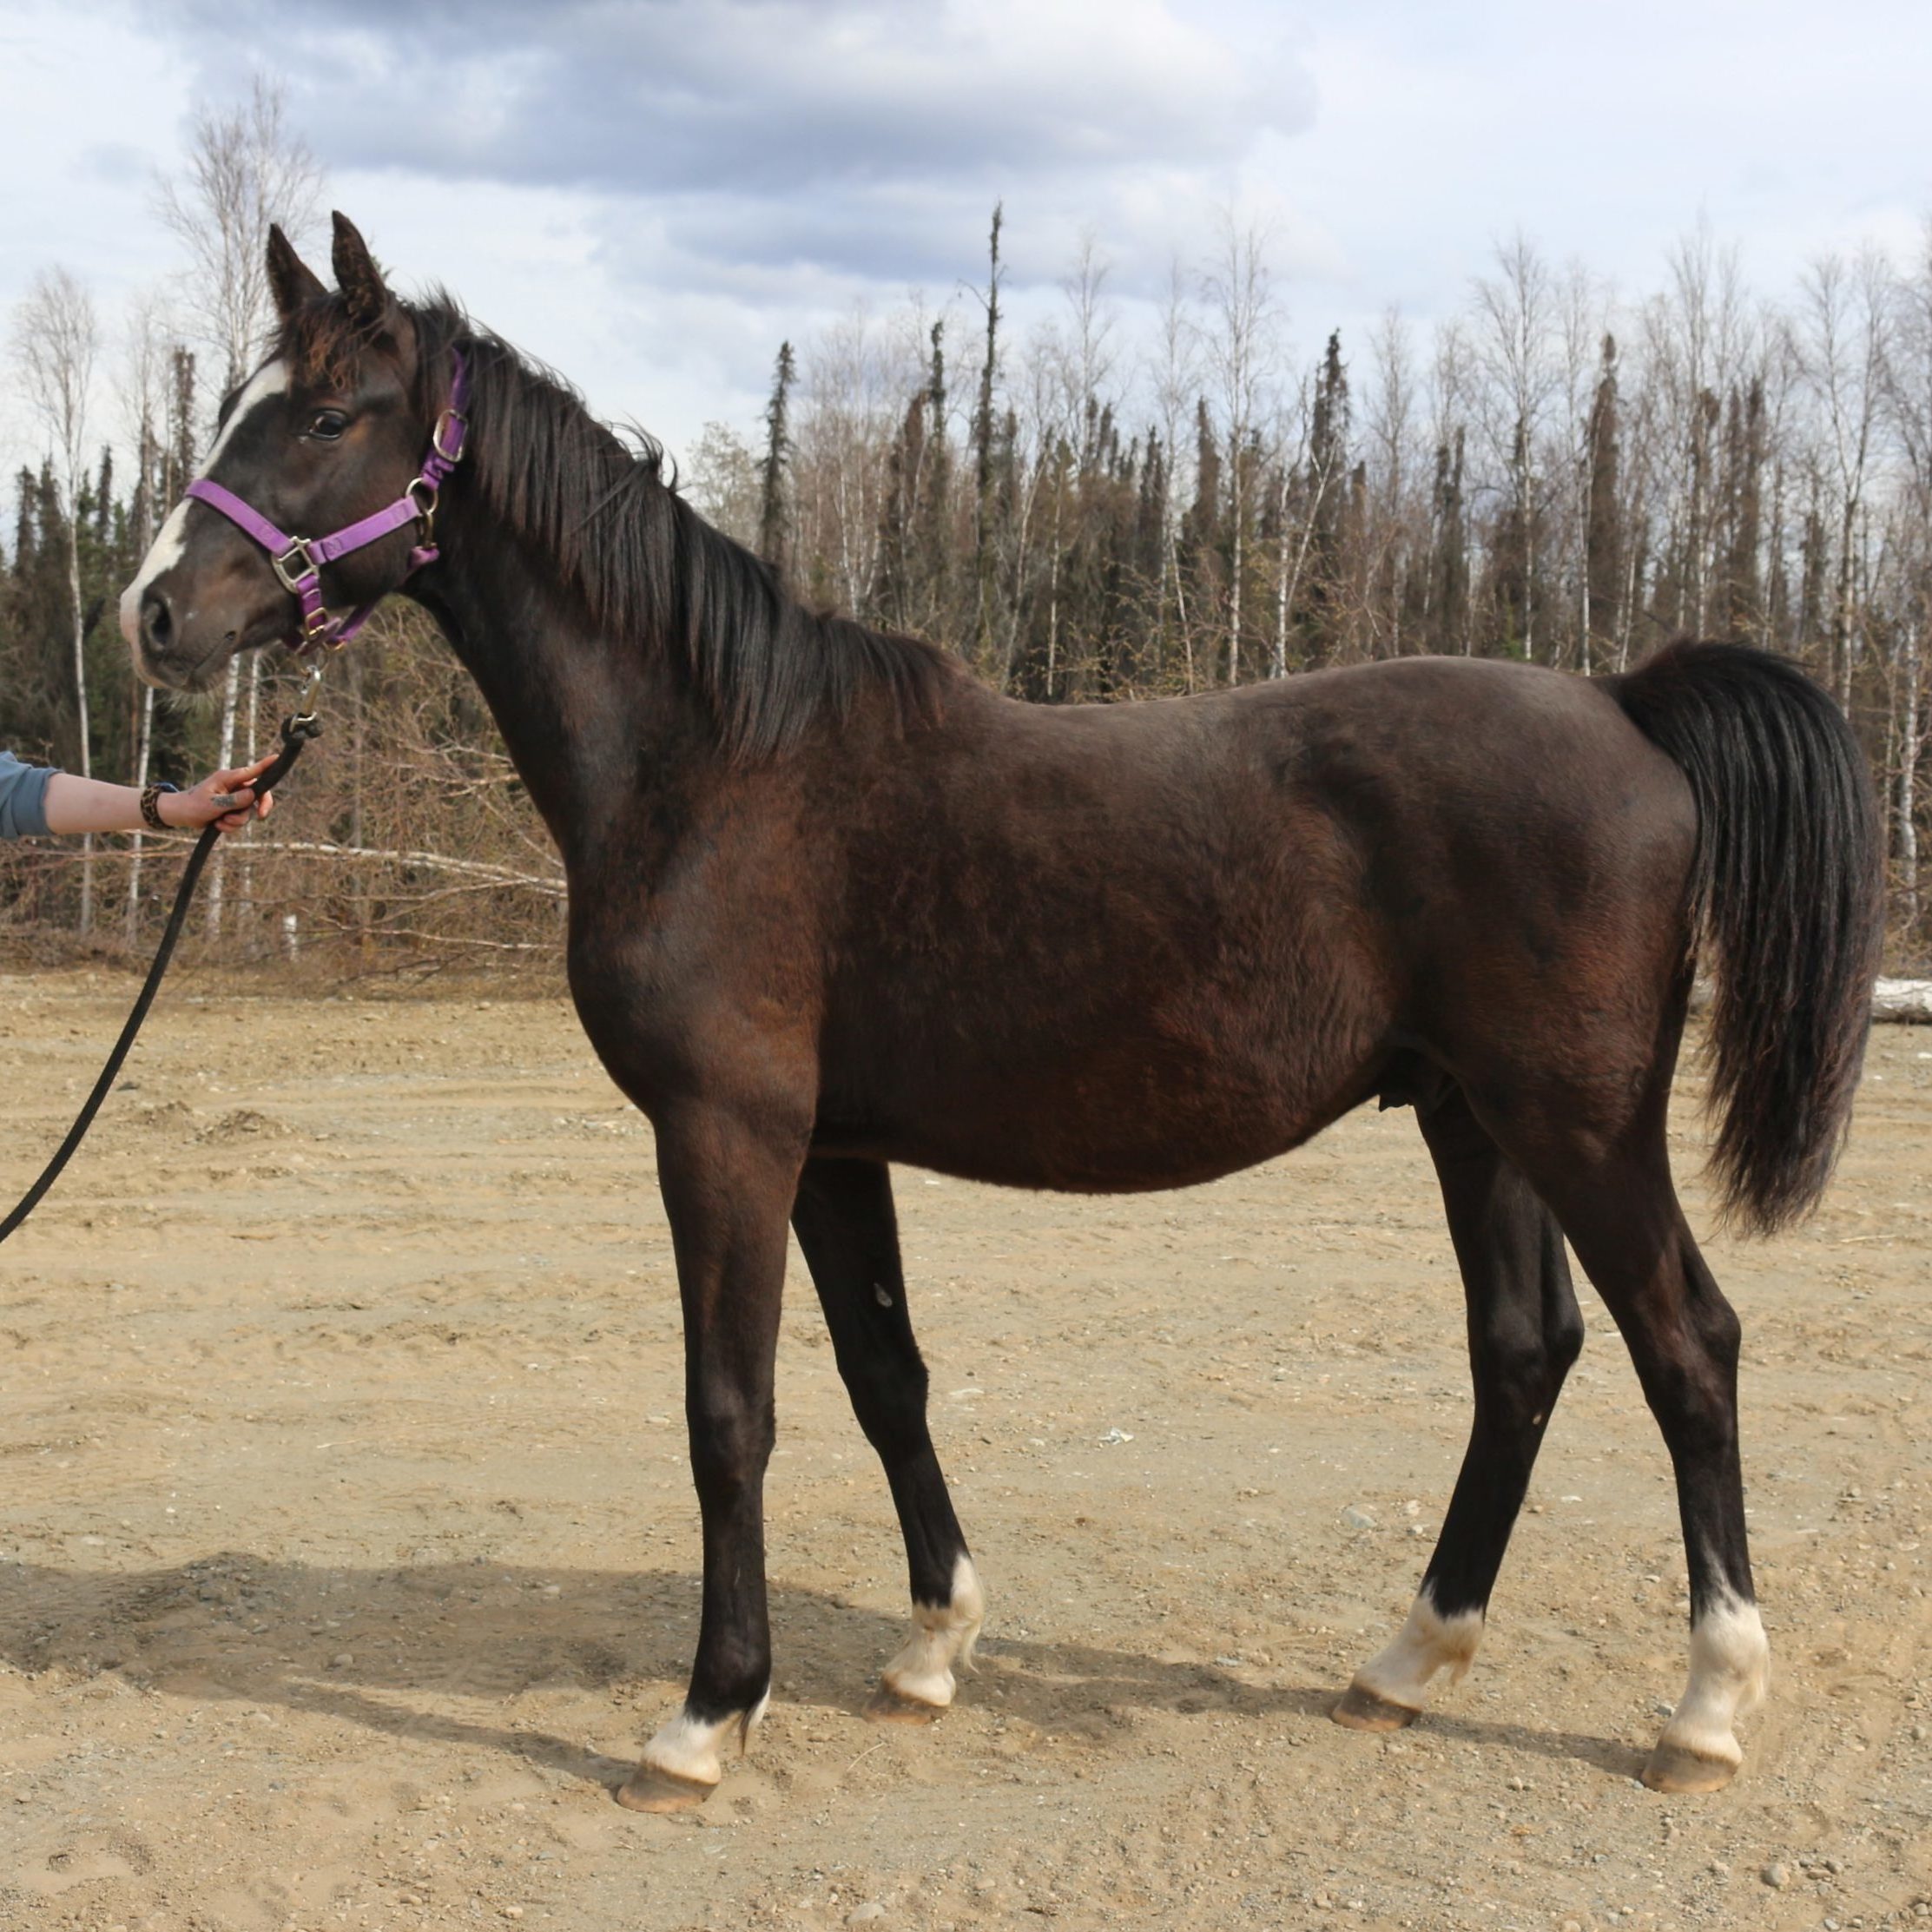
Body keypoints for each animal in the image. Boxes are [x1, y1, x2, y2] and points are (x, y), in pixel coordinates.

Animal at [120, 214, 1882, 1810]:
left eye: (326, 419)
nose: (153, 613)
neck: (719, 760)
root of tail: (1623, 703)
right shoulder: (832, 1149)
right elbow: (882, 1376)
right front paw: (929, 1647)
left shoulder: (725, 1134)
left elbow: (728, 1413)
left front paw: (707, 1714)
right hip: (1471, 1118)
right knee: (1524, 1352)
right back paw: (1405, 1659)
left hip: (1578, 1121)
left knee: (1688, 1346)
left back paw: (1706, 1705)